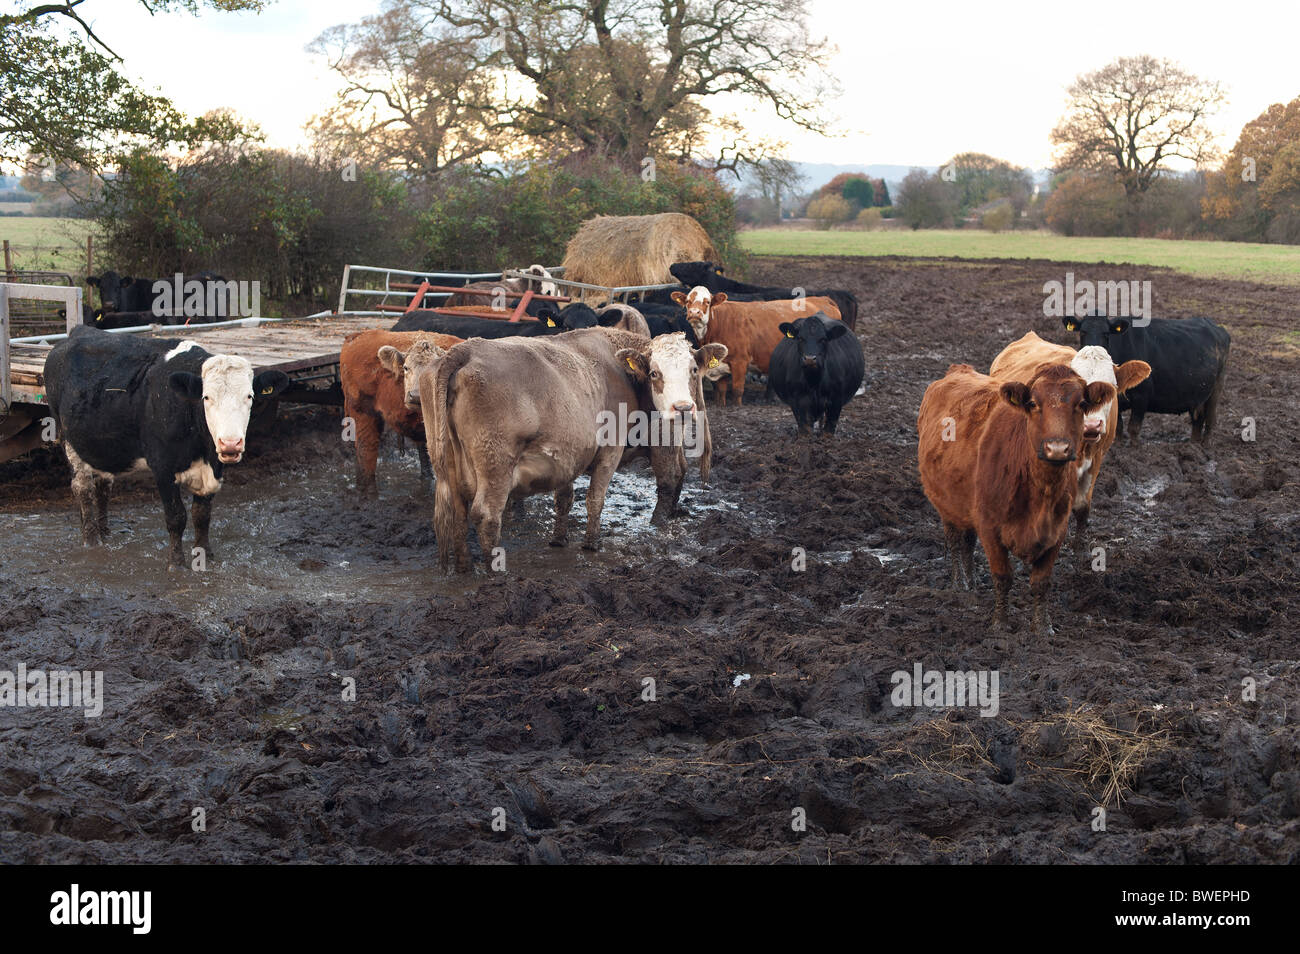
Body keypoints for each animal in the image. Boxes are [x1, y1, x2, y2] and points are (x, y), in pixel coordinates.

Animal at [43, 325, 289, 568]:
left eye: (249, 396)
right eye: (206, 397)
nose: (230, 443)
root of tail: (79, 330)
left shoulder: (213, 469)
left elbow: (202, 515)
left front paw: (205, 555)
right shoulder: (162, 467)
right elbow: (176, 516)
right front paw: (176, 563)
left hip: (102, 446)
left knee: (103, 485)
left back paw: (105, 533)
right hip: (68, 439)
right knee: (82, 488)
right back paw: (91, 540)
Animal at [393, 328, 725, 571]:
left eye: (693, 369)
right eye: (655, 373)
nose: (683, 408)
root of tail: (465, 350)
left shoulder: (567, 454)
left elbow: (564, 498)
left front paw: (559, 539)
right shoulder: (611, 449)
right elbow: (595, 499)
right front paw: (591, 544)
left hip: (447, 464)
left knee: (457, 513)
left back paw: (464, 568)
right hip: (495, 464)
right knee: (486, 514)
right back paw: (494, 574)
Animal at [675, 288, 842, 405]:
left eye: (707, 302)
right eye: (688, 301)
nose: (694, 313)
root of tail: (823, 299)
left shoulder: (740, 361)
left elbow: (737, 390)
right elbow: (721, 392)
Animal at [917, 362, 1116, 635]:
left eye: (1082, 404)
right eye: (1032, 403)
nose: (1057, 448)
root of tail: (959, 370)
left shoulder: (1057, 530)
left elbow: (1041, 581)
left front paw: (1042, 627)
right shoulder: (990, 528)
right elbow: (1003, 577)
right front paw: (1000, 624)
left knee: (967, 542)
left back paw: (972, 581)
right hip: (946, 505)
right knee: (955, 541)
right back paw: (960, 584)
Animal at [1063, 313, 1230, 445]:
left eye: (1106, 333)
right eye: (1082, 332)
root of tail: (1216, 327)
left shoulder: (1142, 396)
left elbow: (1134, 428)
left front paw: (1135, 449)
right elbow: (1119, 428)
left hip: (1217, 387)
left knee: (1210, 419)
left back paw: (1205, 446)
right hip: (1198, 393)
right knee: (1198, 419)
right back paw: (1193, 446)